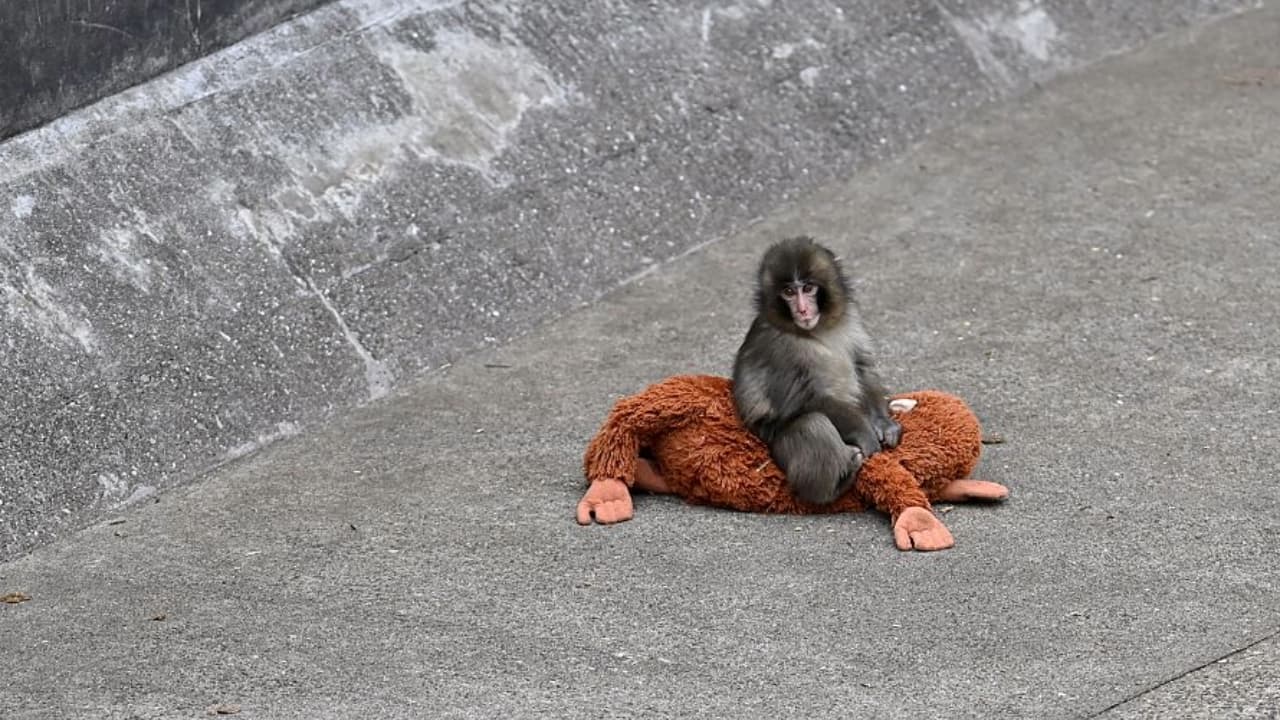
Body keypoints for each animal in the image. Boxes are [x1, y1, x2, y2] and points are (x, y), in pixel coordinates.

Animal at [731, 236, 901, 505]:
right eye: (789, 292)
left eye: (808, 288)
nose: (802, 310)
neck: (815, 330)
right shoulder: (778, 348)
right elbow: (806, 400)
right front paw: (865, 434)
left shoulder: (851, 317)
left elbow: (862, 367)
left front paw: (883, 424)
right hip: (776, 442)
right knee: (812, 423)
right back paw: (836, 485)